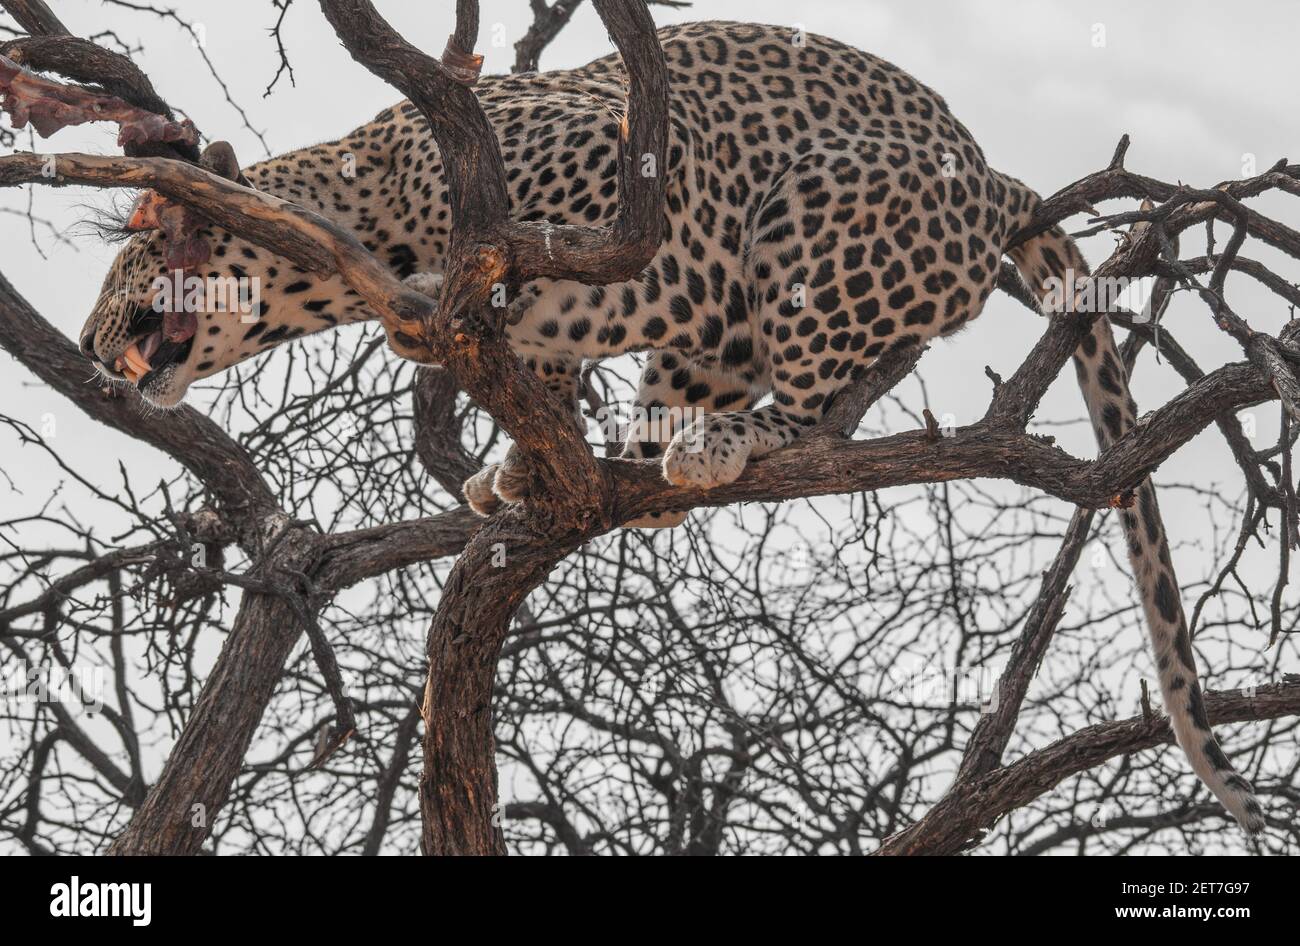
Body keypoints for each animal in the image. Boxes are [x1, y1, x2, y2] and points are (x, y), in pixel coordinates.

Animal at [78, 21, 1263, 833]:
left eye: (129, 251)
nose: (89, 347)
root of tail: (997, 175)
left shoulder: (637, 170)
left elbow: (546, 259)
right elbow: (538, 364)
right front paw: (522, 468)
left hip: (812, 211)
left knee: (813, 398)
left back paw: (729, 444)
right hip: (731, 322)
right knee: (701, 394)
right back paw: (636, 466)